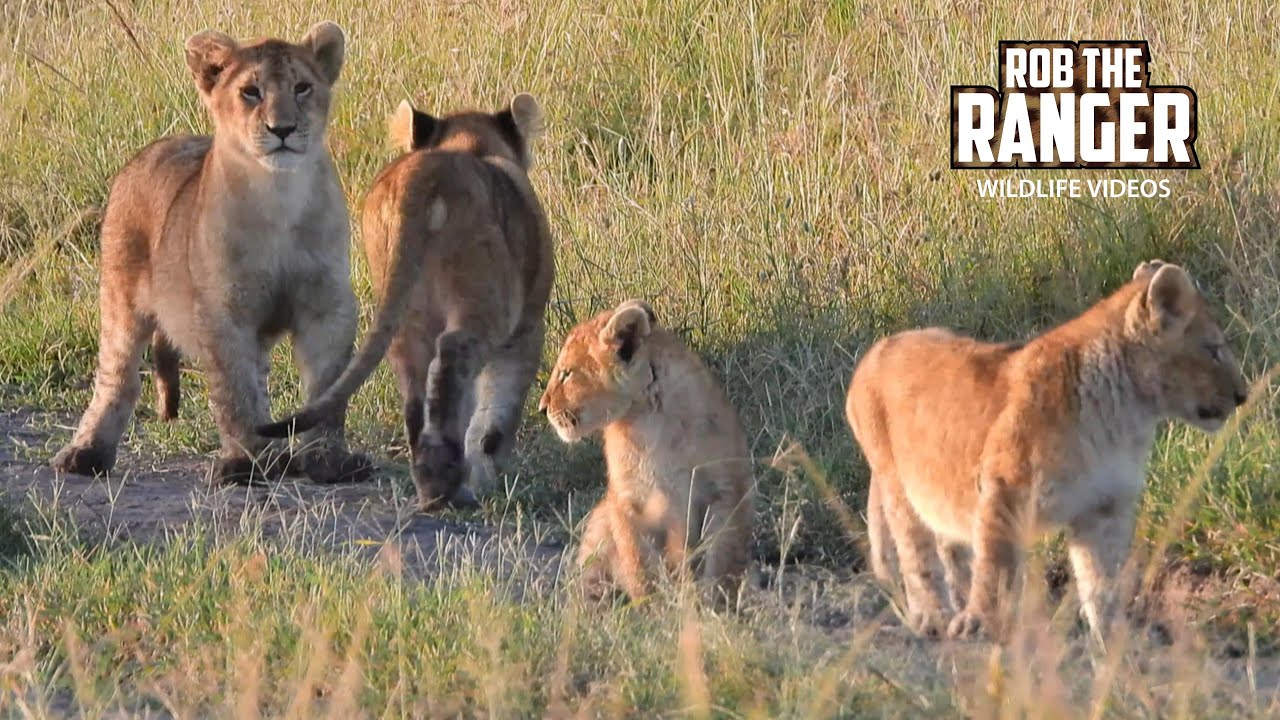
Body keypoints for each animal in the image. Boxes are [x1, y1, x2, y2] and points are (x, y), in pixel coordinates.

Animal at [51, 22, 371, 485]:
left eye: (303, 87)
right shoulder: (223, 310)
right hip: (120, 298)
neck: (279, 196)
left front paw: (328, 459)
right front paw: (249, 462)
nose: (282, 129)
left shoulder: (327, 306)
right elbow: (233, 391)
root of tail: (149, 150)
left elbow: (327, 388)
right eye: (251, 92)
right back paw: (86, 452)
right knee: (118, 377)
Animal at [257, 94, 554, 511]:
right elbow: (497, 408)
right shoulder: (527, 326)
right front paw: (489, 470)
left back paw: (432, 481)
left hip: (404, 308)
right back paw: (448, 486)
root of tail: (423, 173)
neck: (470, 143)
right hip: (485, 300)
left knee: (416, 385)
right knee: (452, 358)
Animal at [538, 300, 755, 604]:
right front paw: (651, 608)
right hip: (600, 527)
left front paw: (711, 605)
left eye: (567, 374)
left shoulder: (725, 488)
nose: (542, 408)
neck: (647, 417)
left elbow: (719, 557)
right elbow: (638, 562)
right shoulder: (629, 498)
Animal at [846, 260, 1249, 640]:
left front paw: (1113, 636)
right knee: (917, 553)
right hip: (897, 484)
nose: (1243, 395)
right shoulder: (1004, 490)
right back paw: (935, 618)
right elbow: (994, 566)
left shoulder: (1103, 506)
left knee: (949, 545)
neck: (1127, 413)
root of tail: (878, 348)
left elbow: (1102, 579)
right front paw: (978, 623)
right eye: (1213, 350)